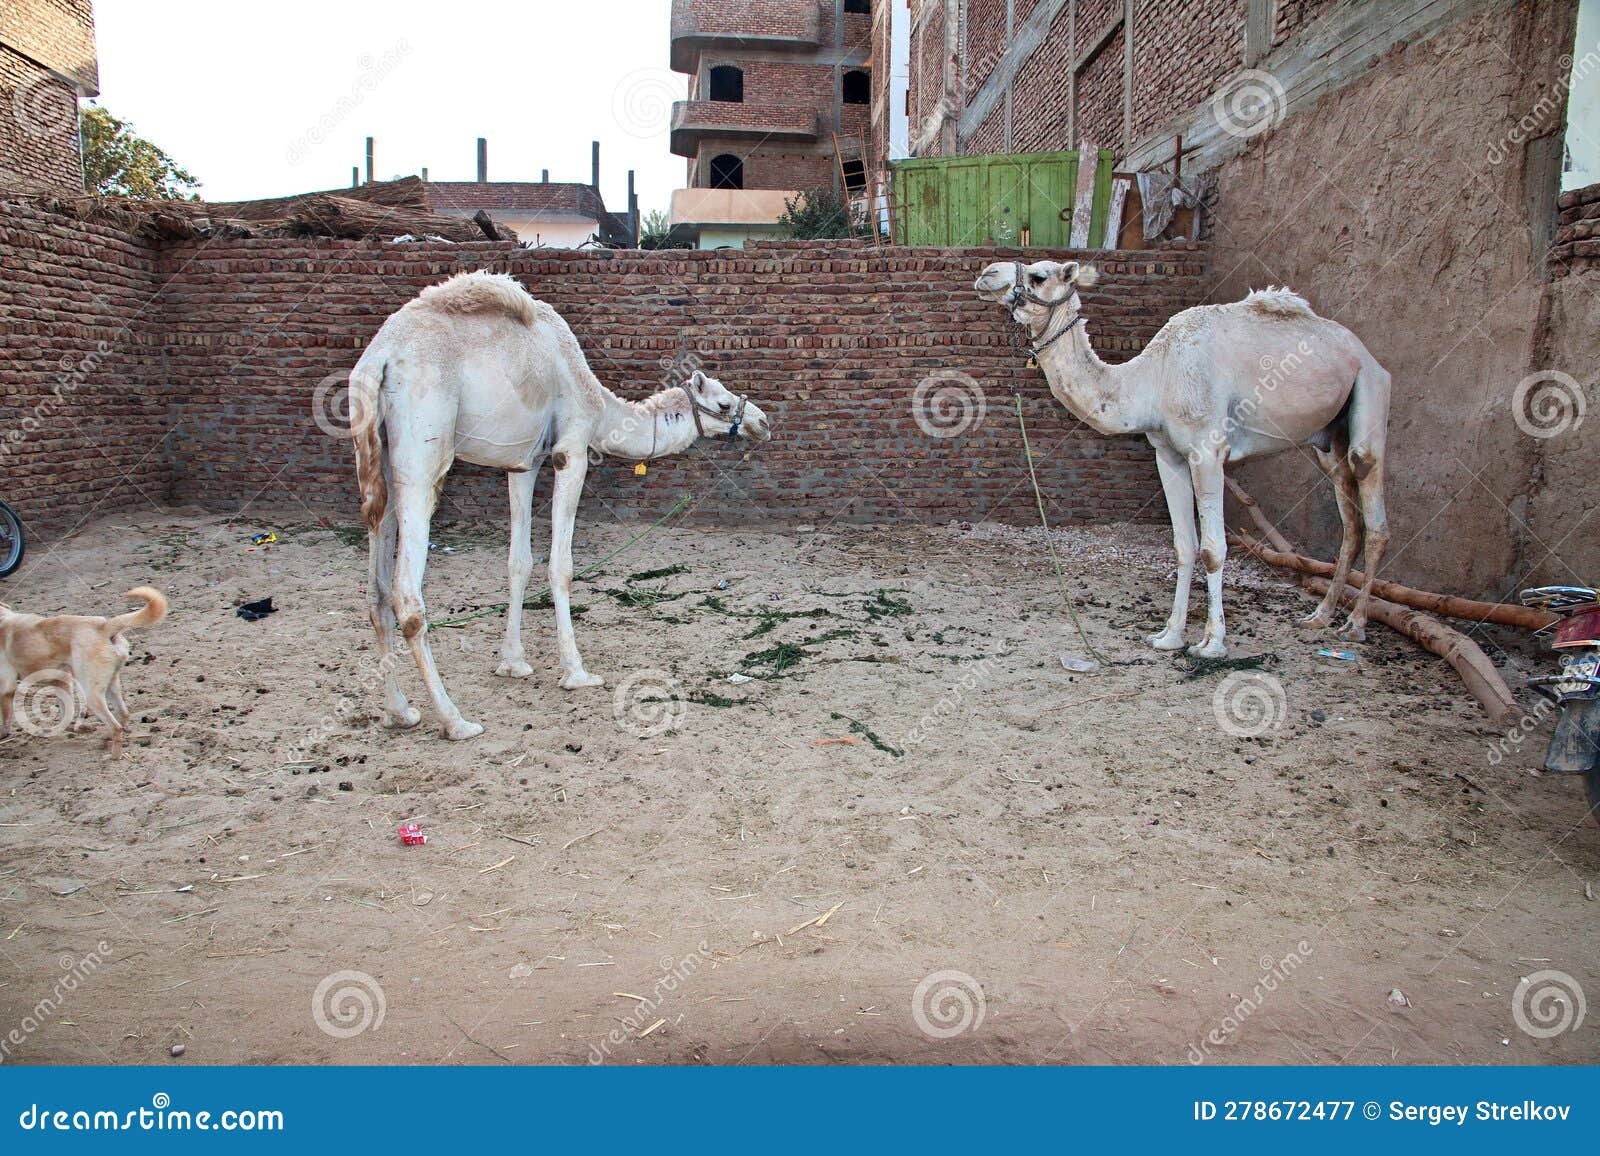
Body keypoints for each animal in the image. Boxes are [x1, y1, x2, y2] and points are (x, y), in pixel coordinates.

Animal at [348, 271, 771, 739]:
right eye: (723, 402)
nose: (762, 422)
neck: (599, 406)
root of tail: (379, 359)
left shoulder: (522, 462)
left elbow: (519, 561)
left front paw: (513, 663)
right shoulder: (571, 450)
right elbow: (560, 565)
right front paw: (576, 672)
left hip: (377, 453)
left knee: (375, 585)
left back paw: (399, 711)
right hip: (423, 449)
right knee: (407, 594)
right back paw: (455, 720)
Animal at [974, 259, 1390, 659]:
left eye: (1039, 276)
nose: (986, 274)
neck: (1154, 379)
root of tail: (1366, 353)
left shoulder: (1207, 451)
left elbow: (1213, 549)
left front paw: (1212, 643)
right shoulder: (1168, 454)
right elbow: (1183, 545)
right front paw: (1169, 636)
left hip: (1371, 394)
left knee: (1373, 509)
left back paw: (1355, 624)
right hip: (1328, 442)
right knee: (1350, 520)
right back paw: (1320, 615)